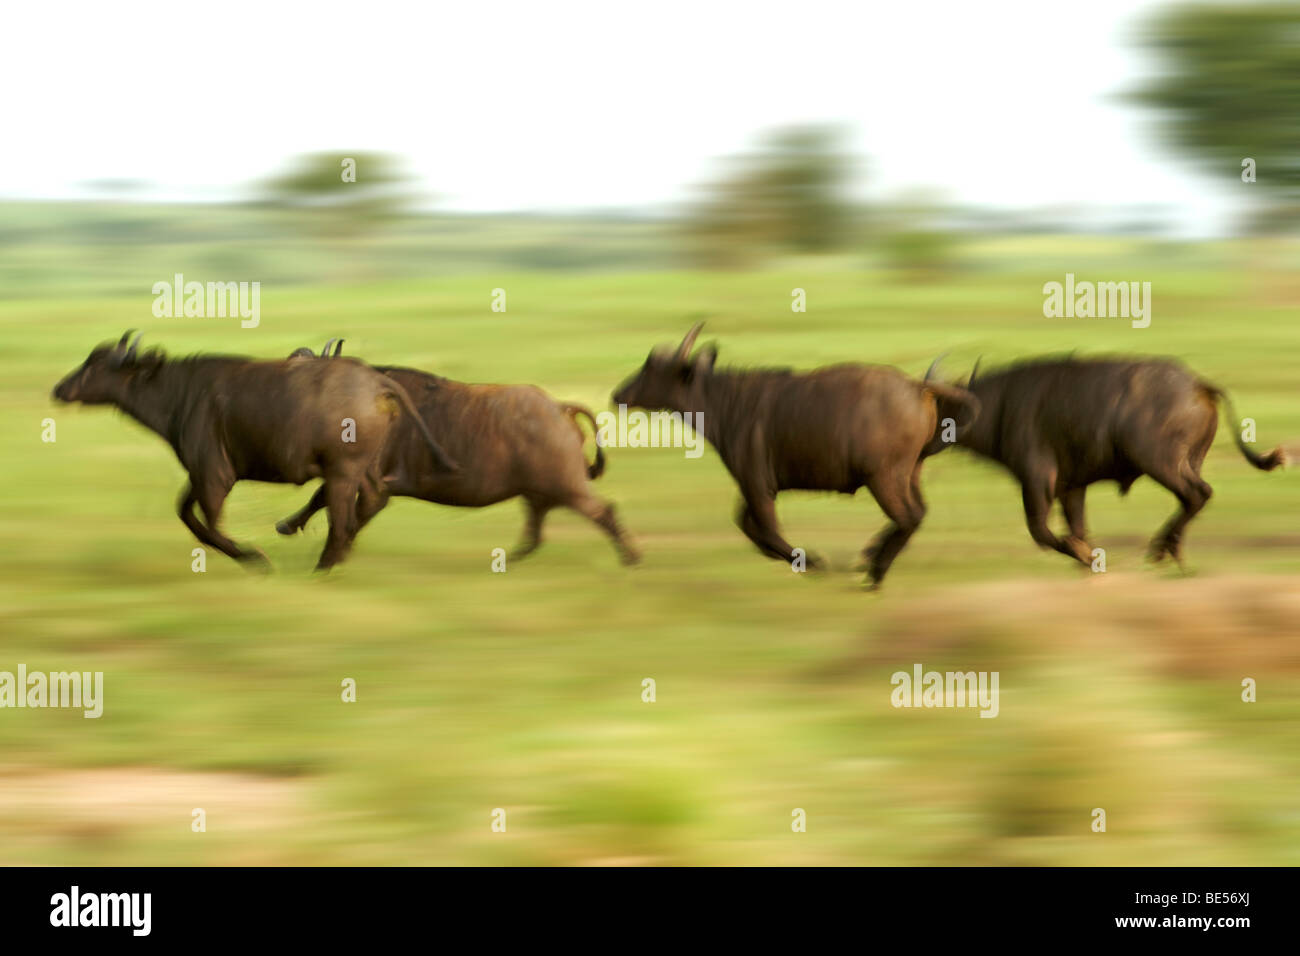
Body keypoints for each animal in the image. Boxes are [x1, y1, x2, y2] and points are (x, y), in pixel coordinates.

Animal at [52, 332, 456, 569]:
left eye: (96, 363)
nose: (59, 389)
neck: (180, 392)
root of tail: (379, 384)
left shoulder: (214, 474)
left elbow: (210, 525)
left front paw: (252, 557)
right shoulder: (201, 473)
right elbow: (186, 514)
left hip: (342, 473)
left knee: (342, 523)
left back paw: (321, 569)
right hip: (364, 469)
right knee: (373, 500)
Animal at [274, 342, 641, 565]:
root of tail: (560, 408)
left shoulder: (365, 478)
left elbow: (326, 498)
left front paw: (294, 529)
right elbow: (327, 500)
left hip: (566, 486)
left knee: (603, 512)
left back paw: (631, 559)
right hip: (538, 492)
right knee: (537, 530)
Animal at [611, 323, 980, 588]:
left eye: (651, 367)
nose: (618, 394)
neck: (728, 403)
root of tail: (918, 387)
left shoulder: (755, 483)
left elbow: (763, 529)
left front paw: (813, 562)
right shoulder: (758, 486)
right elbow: (749, 526)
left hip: (884, 478)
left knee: (908, 516)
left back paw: (875, 572)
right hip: (911, 472)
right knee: (918, 513)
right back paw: (870, 557)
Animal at [927, 355, 1285, 568]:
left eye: (939, 404)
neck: (1000, 405)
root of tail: (1199, 385)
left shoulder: (1036, 478)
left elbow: (1040, 531)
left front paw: (1083, 555)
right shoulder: (1071, 487)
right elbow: (1077, 526)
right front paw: (1088, 556)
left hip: (1160, 461)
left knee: (1198, 493)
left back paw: (1160, 550)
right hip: (1190, 460)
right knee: (1190, 501)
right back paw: (1173, 551)